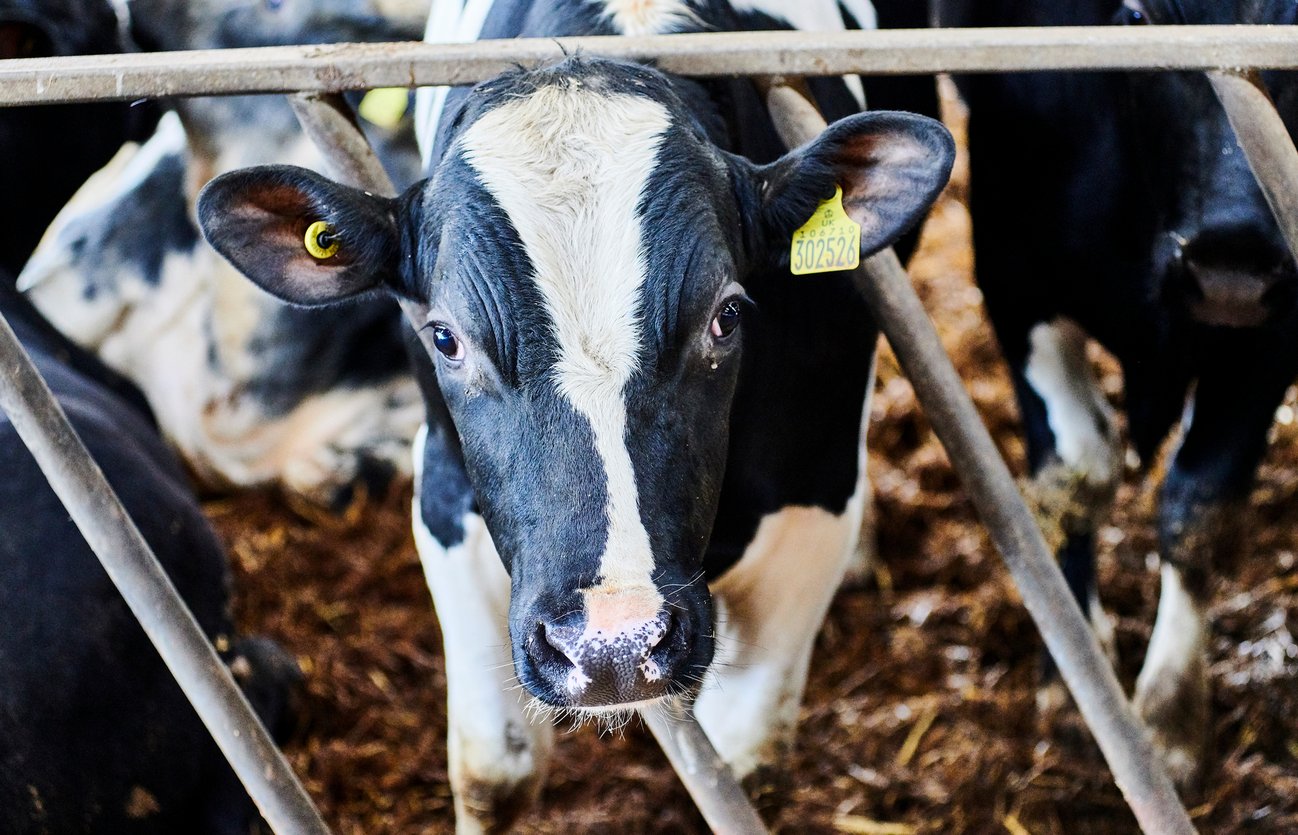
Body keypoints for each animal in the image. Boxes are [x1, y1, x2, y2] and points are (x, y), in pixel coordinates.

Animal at [196, 0, 954, 828]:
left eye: (725, 316)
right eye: (445, 337)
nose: (610, 645)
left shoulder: (810, 505)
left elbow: (746, 768)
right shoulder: (446, 499)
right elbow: (493, 772)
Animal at [941, 0, 1298, 788]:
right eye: (1137, 16)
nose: (1231, 268)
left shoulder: (1274, 334)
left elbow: (1199, 503)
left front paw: (1169, 713)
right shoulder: (1013, 275)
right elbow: (1078, 473)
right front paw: (1078, 681)